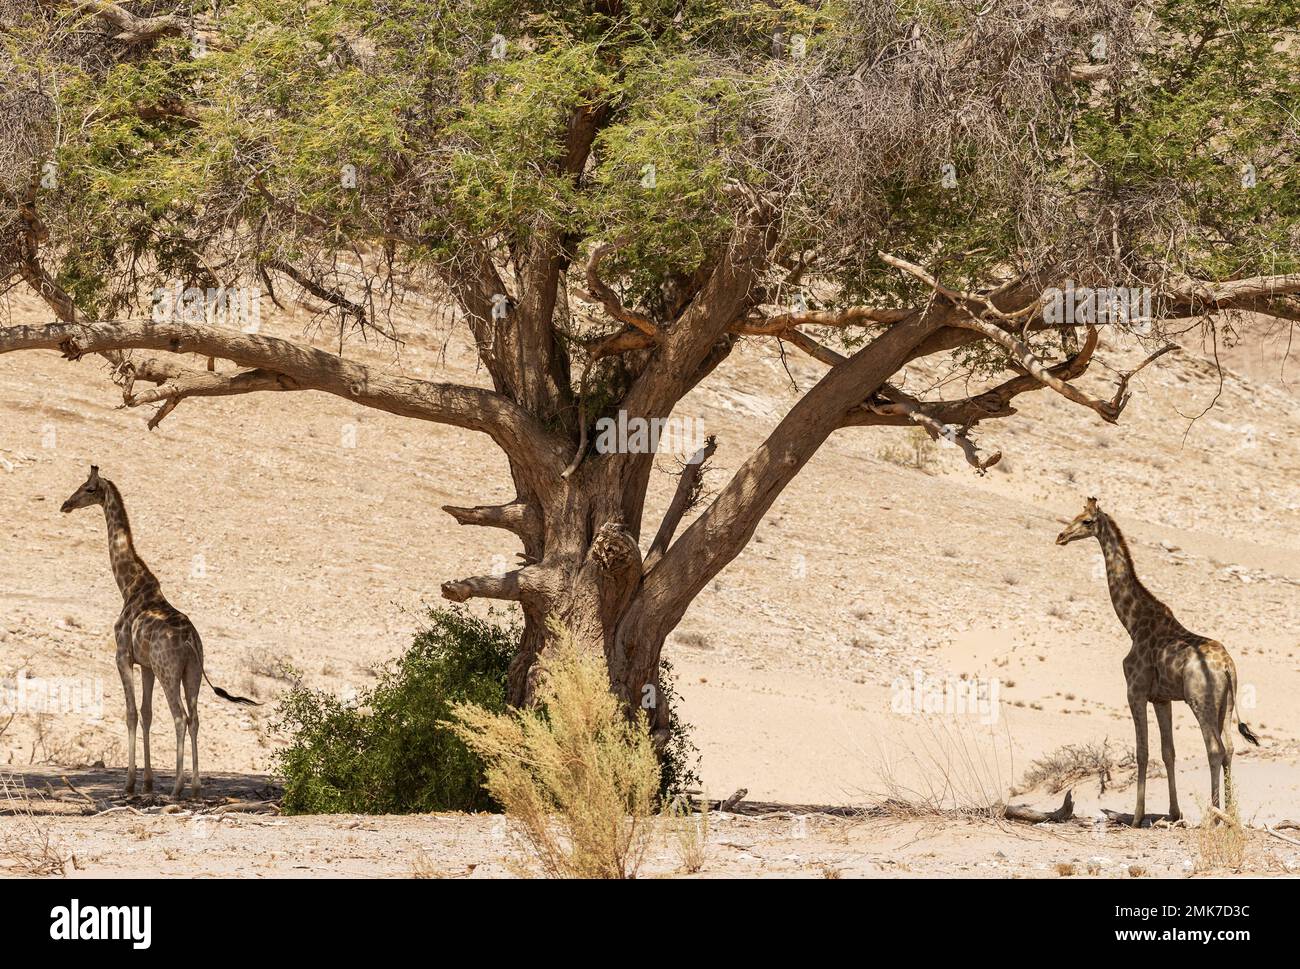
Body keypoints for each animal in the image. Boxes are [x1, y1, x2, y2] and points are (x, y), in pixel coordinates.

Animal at [60, 466, 256, 799]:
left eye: (89, 488)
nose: (66, 504)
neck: (128, 585)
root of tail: (190, 642)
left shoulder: (123, 656)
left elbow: (131, 713)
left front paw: (129, 784)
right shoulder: (147, 666)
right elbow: (147, 713)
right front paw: (148, 783)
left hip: (170, 671)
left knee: (180, 717)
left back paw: (177, 788)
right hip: (192, 673)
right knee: (195, 718)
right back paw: (195, 788)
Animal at [1056, 497, 1259, 827]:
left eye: (1086, 521)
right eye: (1075, 514)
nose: (1061, 536)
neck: (1132, 622)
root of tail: (1228, 668)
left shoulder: (1135, 691)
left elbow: (1142, 751)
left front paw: (1137, 817)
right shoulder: (1162, 698)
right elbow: (1168, 751)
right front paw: (1174, 813)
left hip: (1200, 701)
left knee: (1214, 748)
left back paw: (1212, 817)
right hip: (1226, 704)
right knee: (1229, 748)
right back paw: (1230, 815)